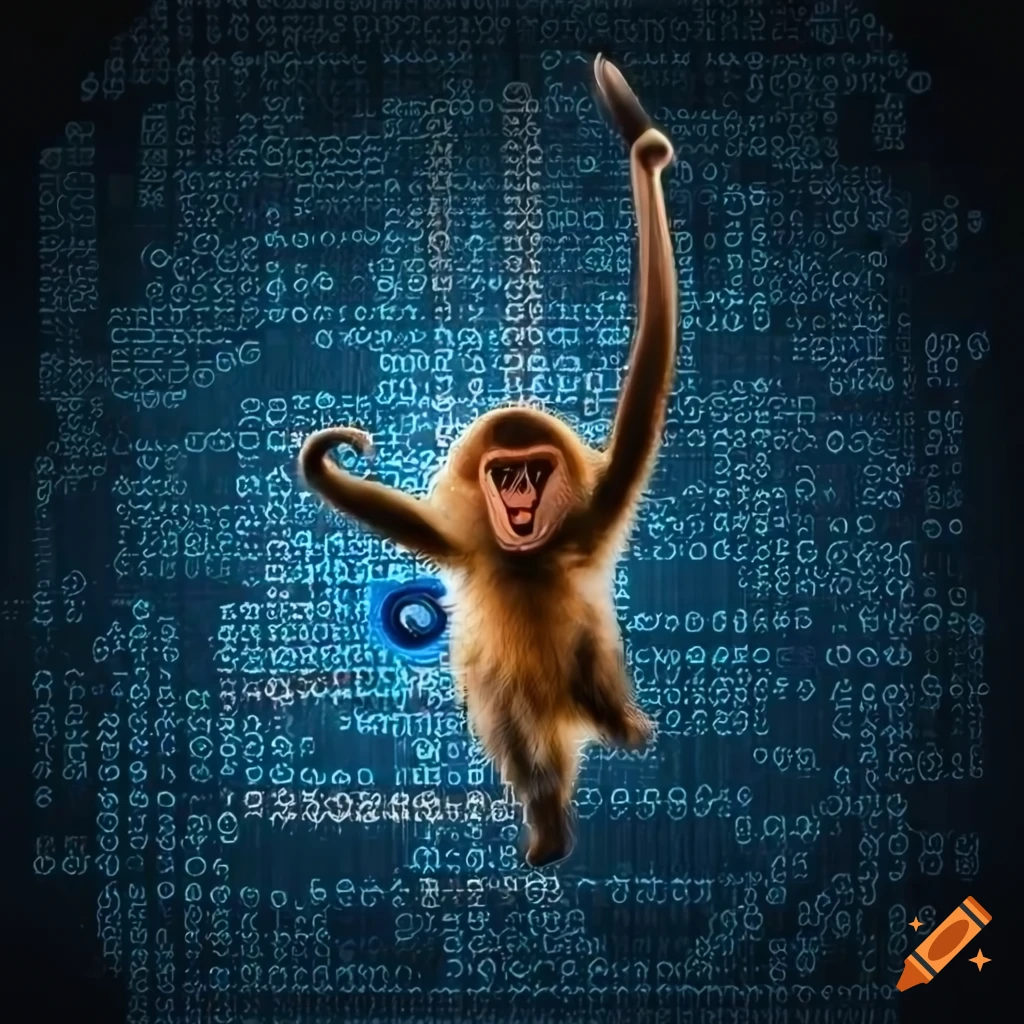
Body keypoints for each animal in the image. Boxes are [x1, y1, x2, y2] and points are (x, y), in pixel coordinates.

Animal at [298, 55, 677, 868]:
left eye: (535, 469)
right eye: (503, 473)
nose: (520, 489)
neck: (526, 557)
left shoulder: (593, 511)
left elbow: (650, 369)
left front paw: (644, 152)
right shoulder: (468, 541)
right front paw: (326, 463)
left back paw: (620, 735)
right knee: (518, 729)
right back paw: (549, 823)